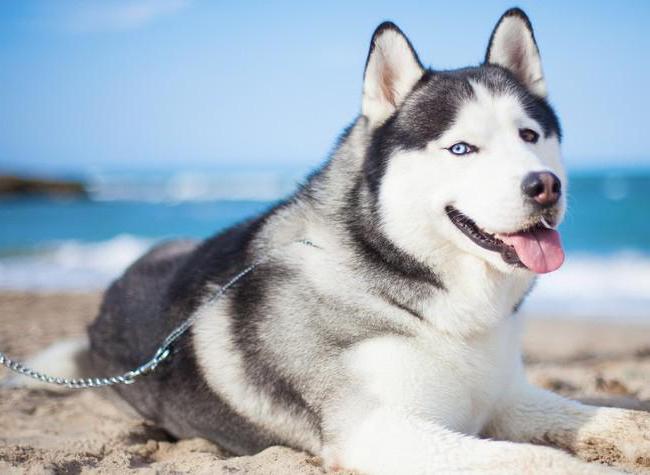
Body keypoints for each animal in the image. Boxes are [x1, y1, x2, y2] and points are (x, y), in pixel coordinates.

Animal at [40, 7, 648, 475]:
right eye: (461, 149)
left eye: (529, 135)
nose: (546, 186)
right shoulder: (379, 429)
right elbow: (533, 459)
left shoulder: (507, 397)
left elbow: (615, 417)